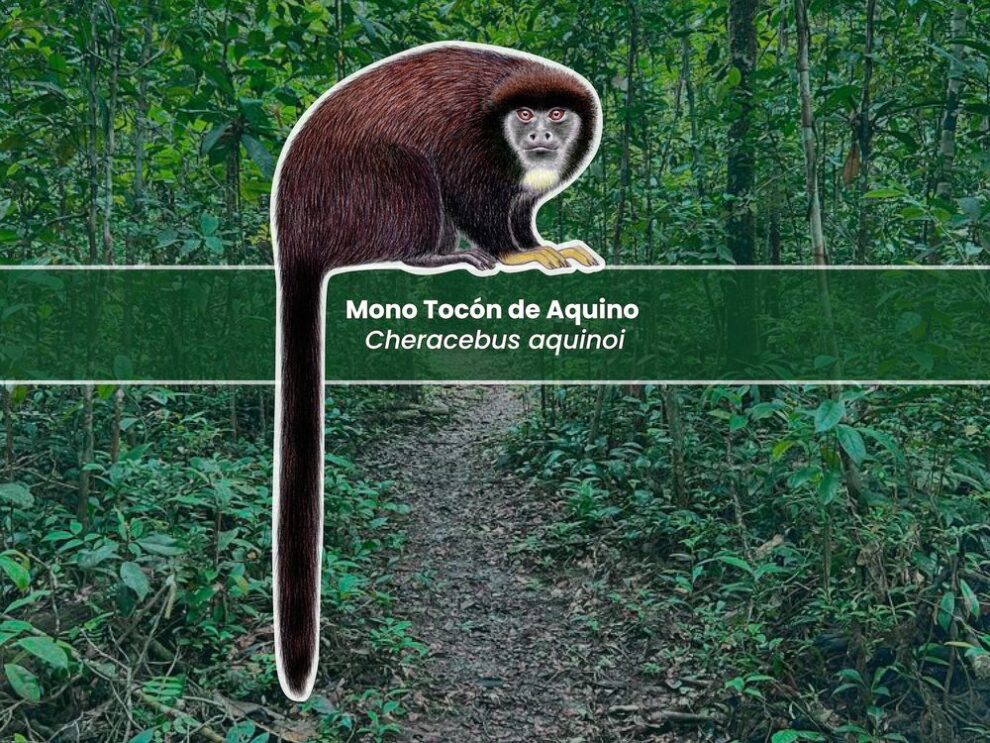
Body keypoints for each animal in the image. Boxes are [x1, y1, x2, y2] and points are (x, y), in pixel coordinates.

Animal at [270, 41, 603, 701]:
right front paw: (520, 252)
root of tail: (292, 228)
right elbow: (468, 189)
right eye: (526, 115)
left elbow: (517, 205)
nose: (542, 136)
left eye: (556, 114)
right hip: (355, 197)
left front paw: (538, 241)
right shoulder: (474, 145)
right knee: (409, 171)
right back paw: (432, 253)